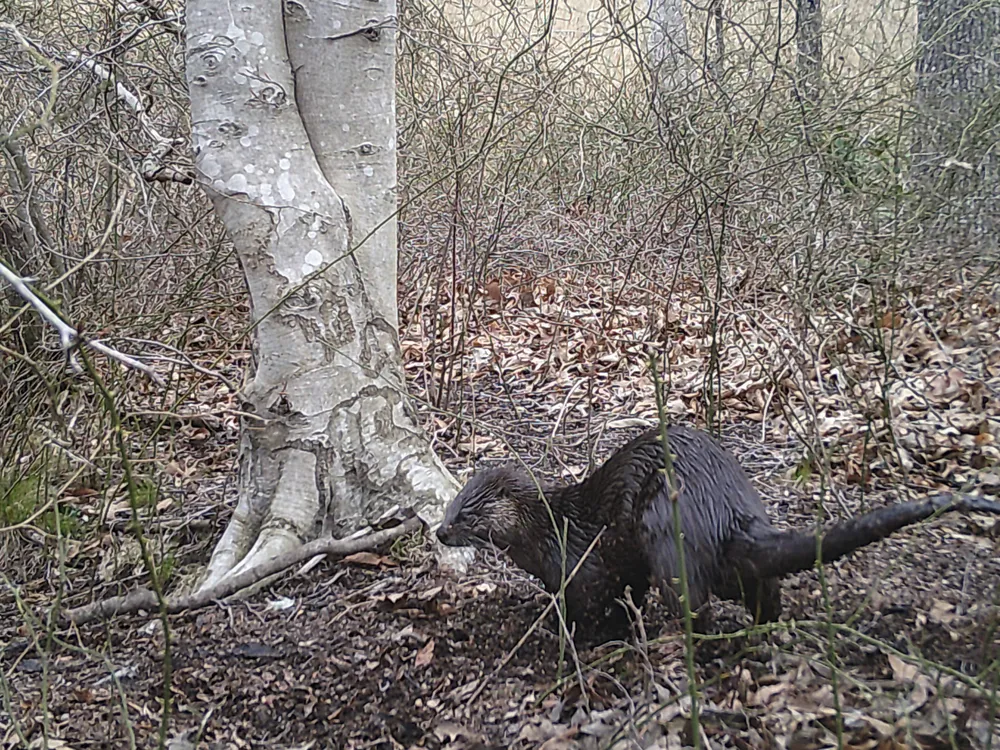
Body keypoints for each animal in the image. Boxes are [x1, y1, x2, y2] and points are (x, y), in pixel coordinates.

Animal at [436, 425, 1000, 640]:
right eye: (447, 506)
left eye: (464, 515)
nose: (439, 533)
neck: (550, 530)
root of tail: (728, 515)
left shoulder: (581, 566)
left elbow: (590, 604)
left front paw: (567, 631)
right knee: (763, 590)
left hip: (665, 533)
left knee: (694, 603)